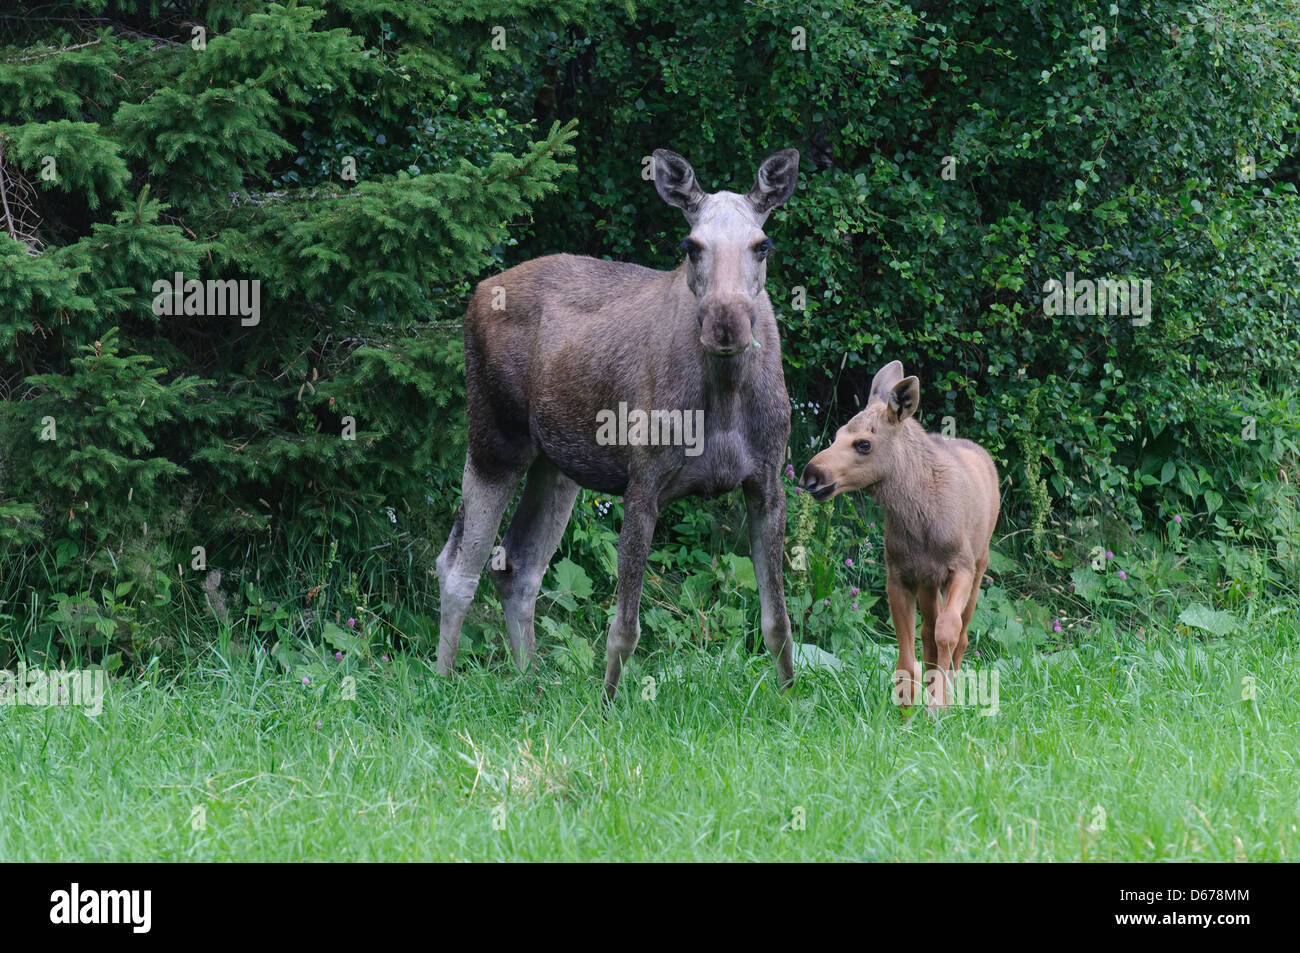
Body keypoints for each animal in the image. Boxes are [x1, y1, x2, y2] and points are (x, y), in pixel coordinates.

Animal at [435, 148, 801, 701]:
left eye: (762, 245)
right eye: (691, 245)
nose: (727, 324)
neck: (724, 394)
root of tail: (477, 290)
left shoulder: (767, 482)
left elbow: (777, 622)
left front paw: (789, 699)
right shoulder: (643, 482)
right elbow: (624, 628)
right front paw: (607, 705)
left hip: (556, 465)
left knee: (518, 567)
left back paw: (530, 681)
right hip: (494, 437)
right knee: (458, 566)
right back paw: (441, 679)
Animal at [799, 361, 1000, 710]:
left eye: (864, 443)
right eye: (836, 435)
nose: (812, 475)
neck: (918, 521)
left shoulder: (960, 567)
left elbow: (950, 630)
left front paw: (939, 705)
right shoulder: (900, 575)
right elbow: (907, 655)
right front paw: (907, 709)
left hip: (980, 565)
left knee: (960, 633)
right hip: (929, 582)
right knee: (928, 631)